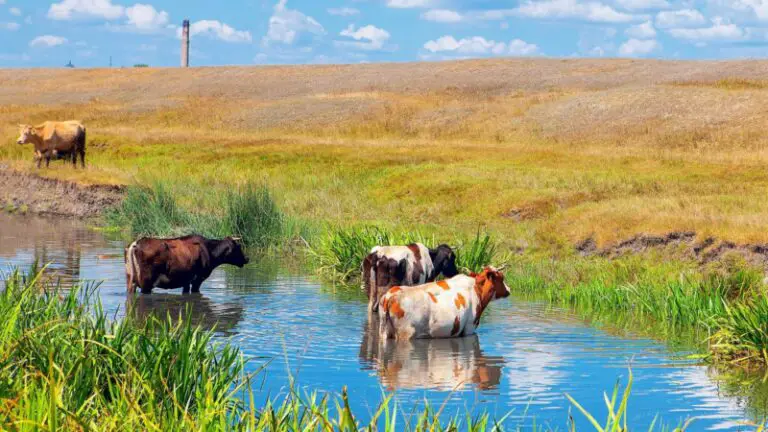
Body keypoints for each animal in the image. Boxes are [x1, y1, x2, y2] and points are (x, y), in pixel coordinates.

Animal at [378, 266, 510, 340]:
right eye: (502, 278)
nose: (509, 289)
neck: (476, 290)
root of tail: (390, 295)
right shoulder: (469, 328)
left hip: (385, 332)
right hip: (406, 333)